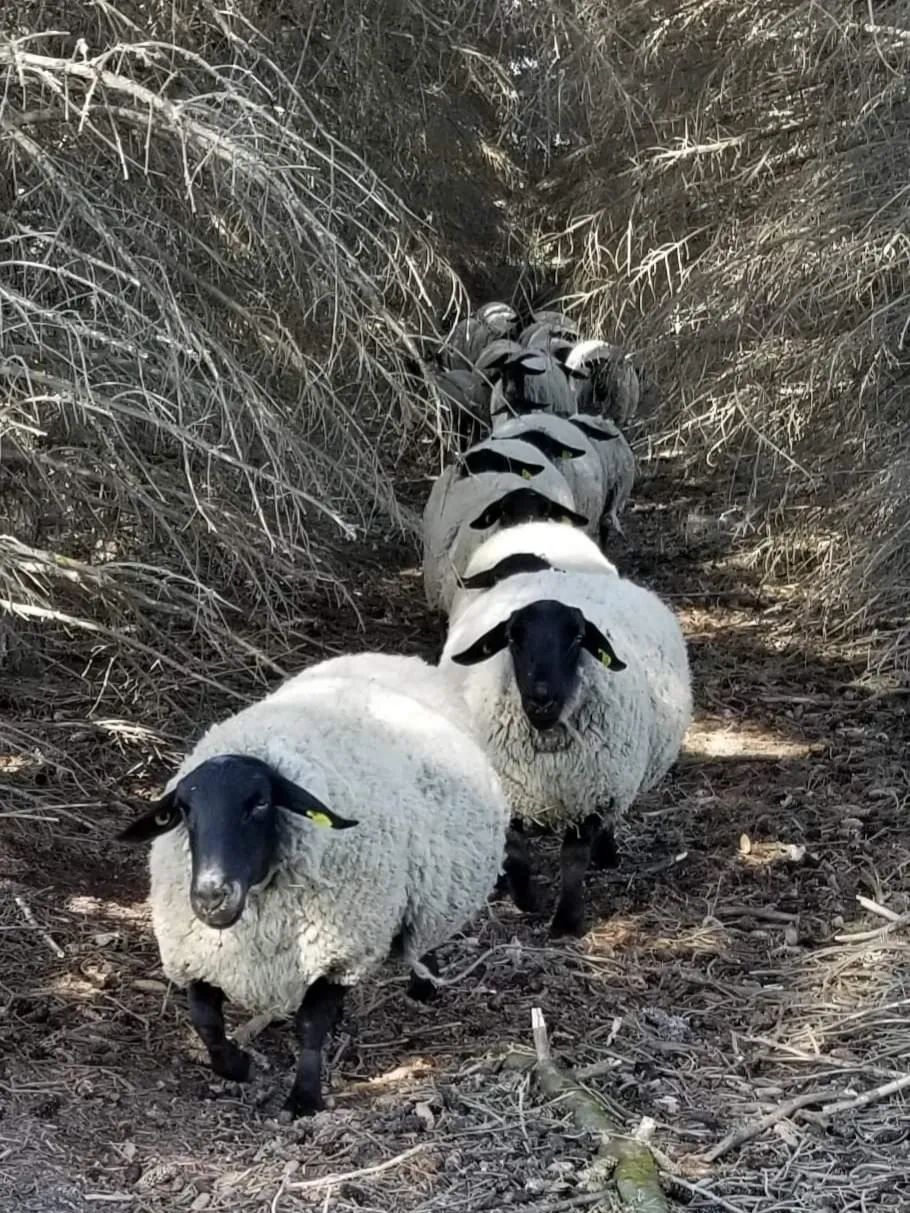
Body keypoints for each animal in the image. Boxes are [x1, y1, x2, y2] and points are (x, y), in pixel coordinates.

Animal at [116, 653, 511, 1120]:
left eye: (261, 802)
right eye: (184, 809)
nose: (212, 896)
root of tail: (391, 657)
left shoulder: (343, 954)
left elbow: (309, 1026)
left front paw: (304, 1098)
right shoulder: (195, 954)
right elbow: (205, 1021)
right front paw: (237, 1065)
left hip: (436, 886)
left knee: (426, 932)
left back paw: (423, 983)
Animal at [439, 569, 692, 938]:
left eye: (578, 639)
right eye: (513, 638)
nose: (541, 699)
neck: (547, 760)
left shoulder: (593, 795)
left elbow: (573, 859)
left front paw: (567, 921)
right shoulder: (510, 790)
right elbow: (516, 851)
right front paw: (527, 900)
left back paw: (607, 855)